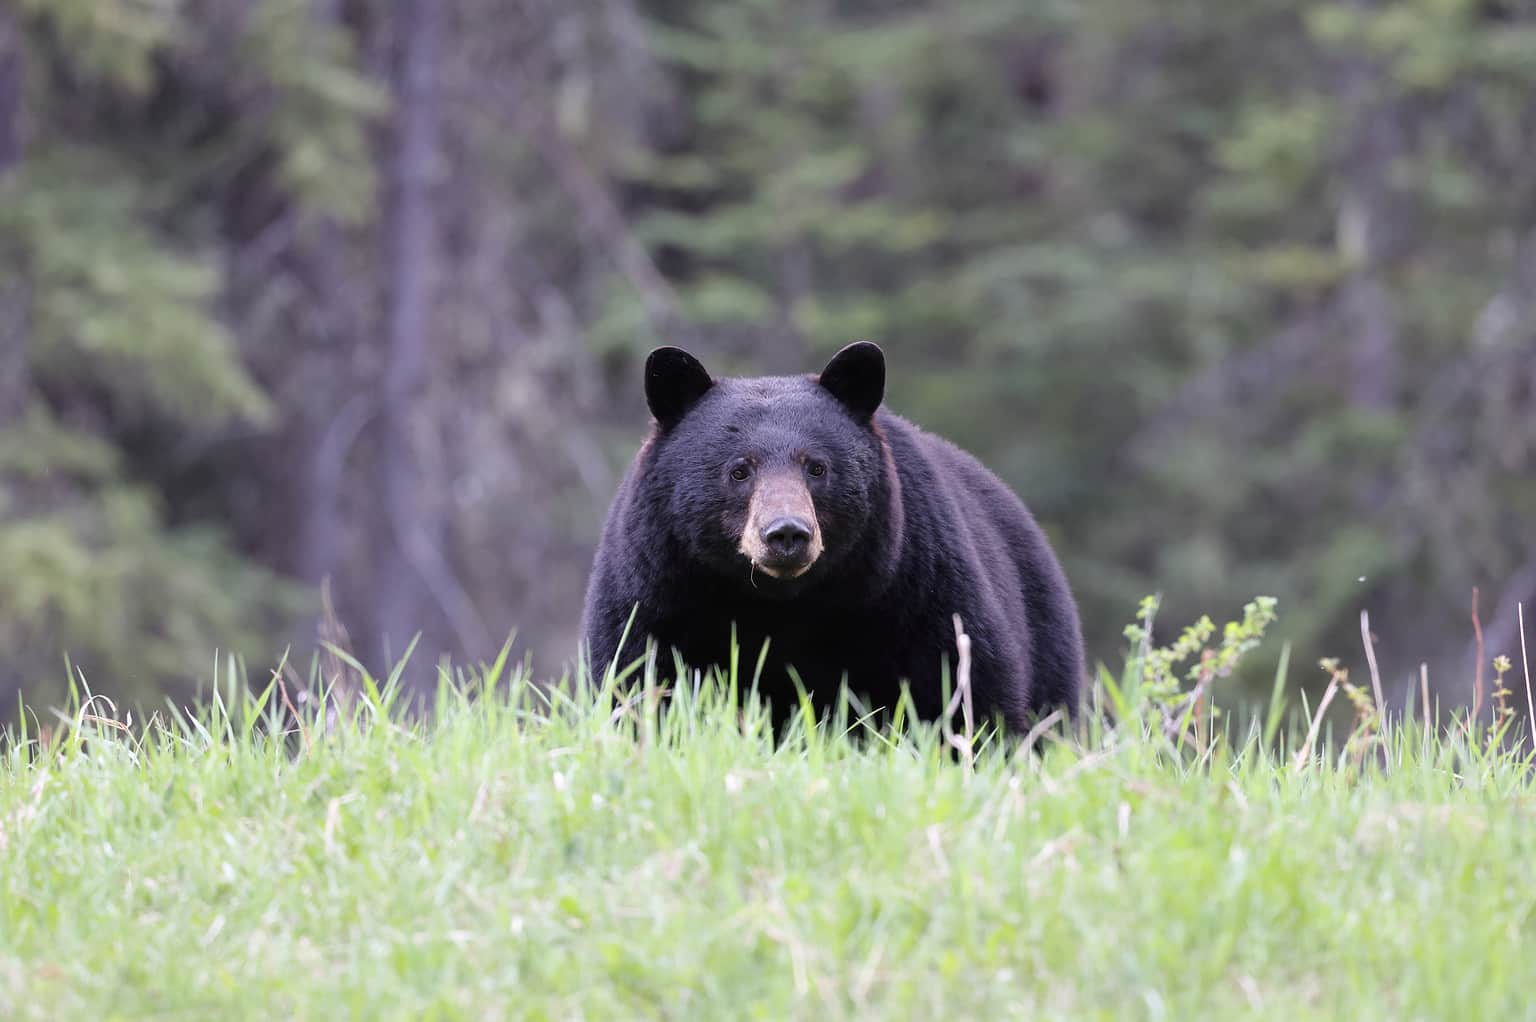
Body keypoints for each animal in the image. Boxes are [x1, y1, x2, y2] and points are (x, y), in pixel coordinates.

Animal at [580, 341, 1085, 734]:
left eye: (817, 467)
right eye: (739, 470)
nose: (786, 533)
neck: (779, 603)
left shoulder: (918, 587)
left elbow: (963, 689)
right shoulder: (657, 594)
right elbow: (638, 684)